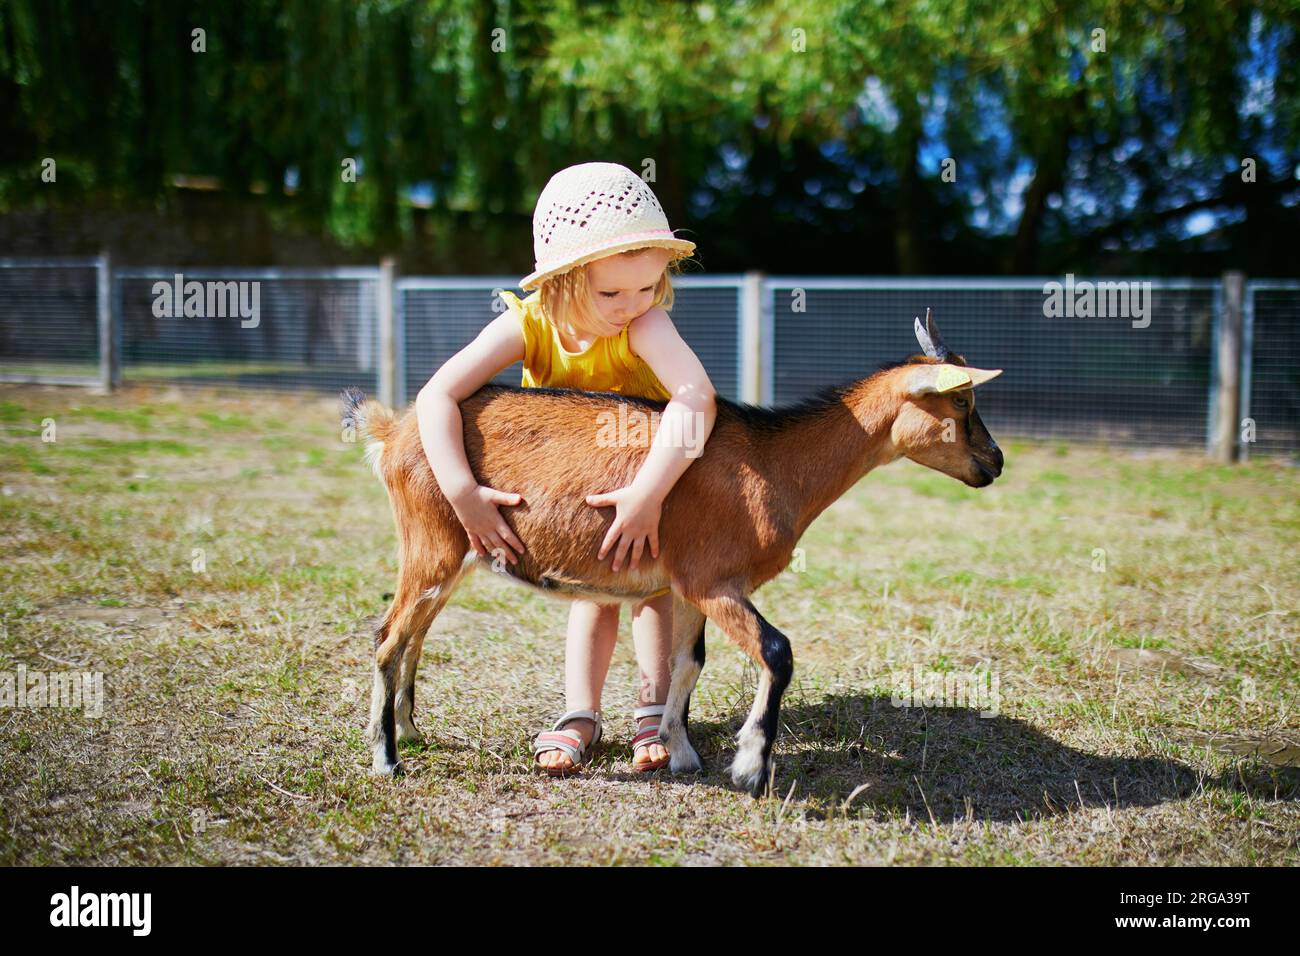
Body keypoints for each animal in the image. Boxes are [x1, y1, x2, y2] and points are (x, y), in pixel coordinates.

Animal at [343, 311, 1003, 796]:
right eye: (963, 404)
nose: (995, 463)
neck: (772, 465)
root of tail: (393, 432)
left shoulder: (689, 585)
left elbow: (689, 661)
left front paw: (681, 753)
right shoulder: (715, 580)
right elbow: (777, 651)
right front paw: (750, 766)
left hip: (455, 554)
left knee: (413, 634)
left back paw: (411, 731)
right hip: (432, 543)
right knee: (388, 636)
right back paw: (386, 759)